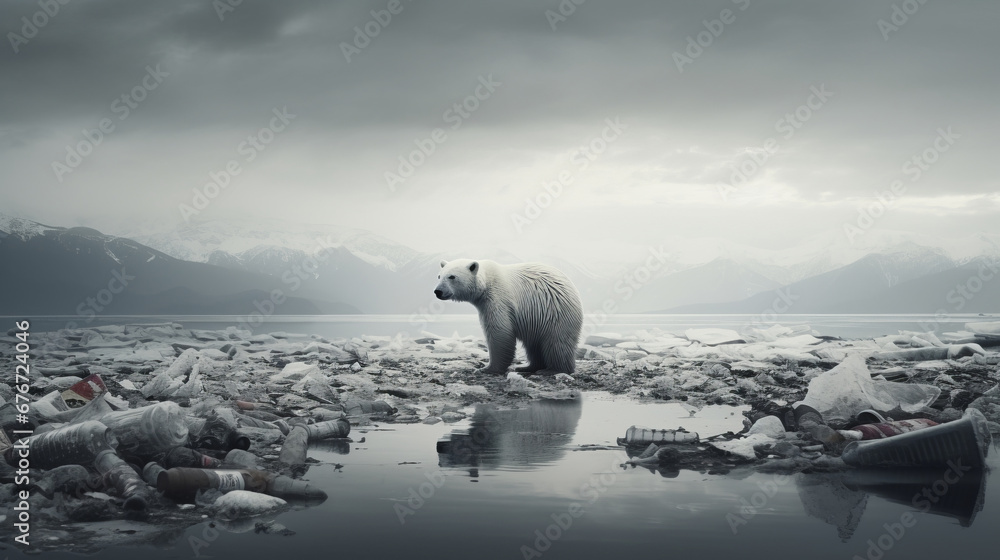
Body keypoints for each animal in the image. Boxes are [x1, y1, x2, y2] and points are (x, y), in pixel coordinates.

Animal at [434, 259, 583, 375]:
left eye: (452, 276)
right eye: (439, 276)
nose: (438, 291)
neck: (486, 283)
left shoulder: (497, 299)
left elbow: (499, 332)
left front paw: (487, 368)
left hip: (555, 311)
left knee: (557, 342)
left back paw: (553, 369)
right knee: (534, 344)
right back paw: (528, 367)